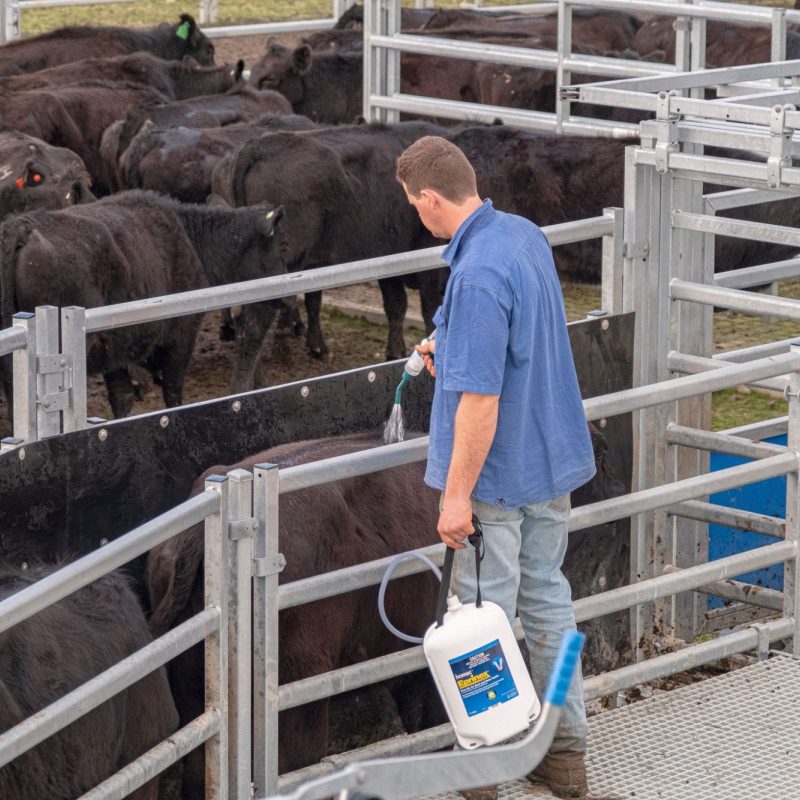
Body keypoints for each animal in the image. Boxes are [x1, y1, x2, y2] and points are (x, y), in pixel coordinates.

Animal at [0, 190, 288, 417]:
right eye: (281, 246)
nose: (285, 299)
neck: (191, 240)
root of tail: (22, 226)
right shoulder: (181, 338)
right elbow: (173, 394)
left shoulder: (114, 353)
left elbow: (122, 398)